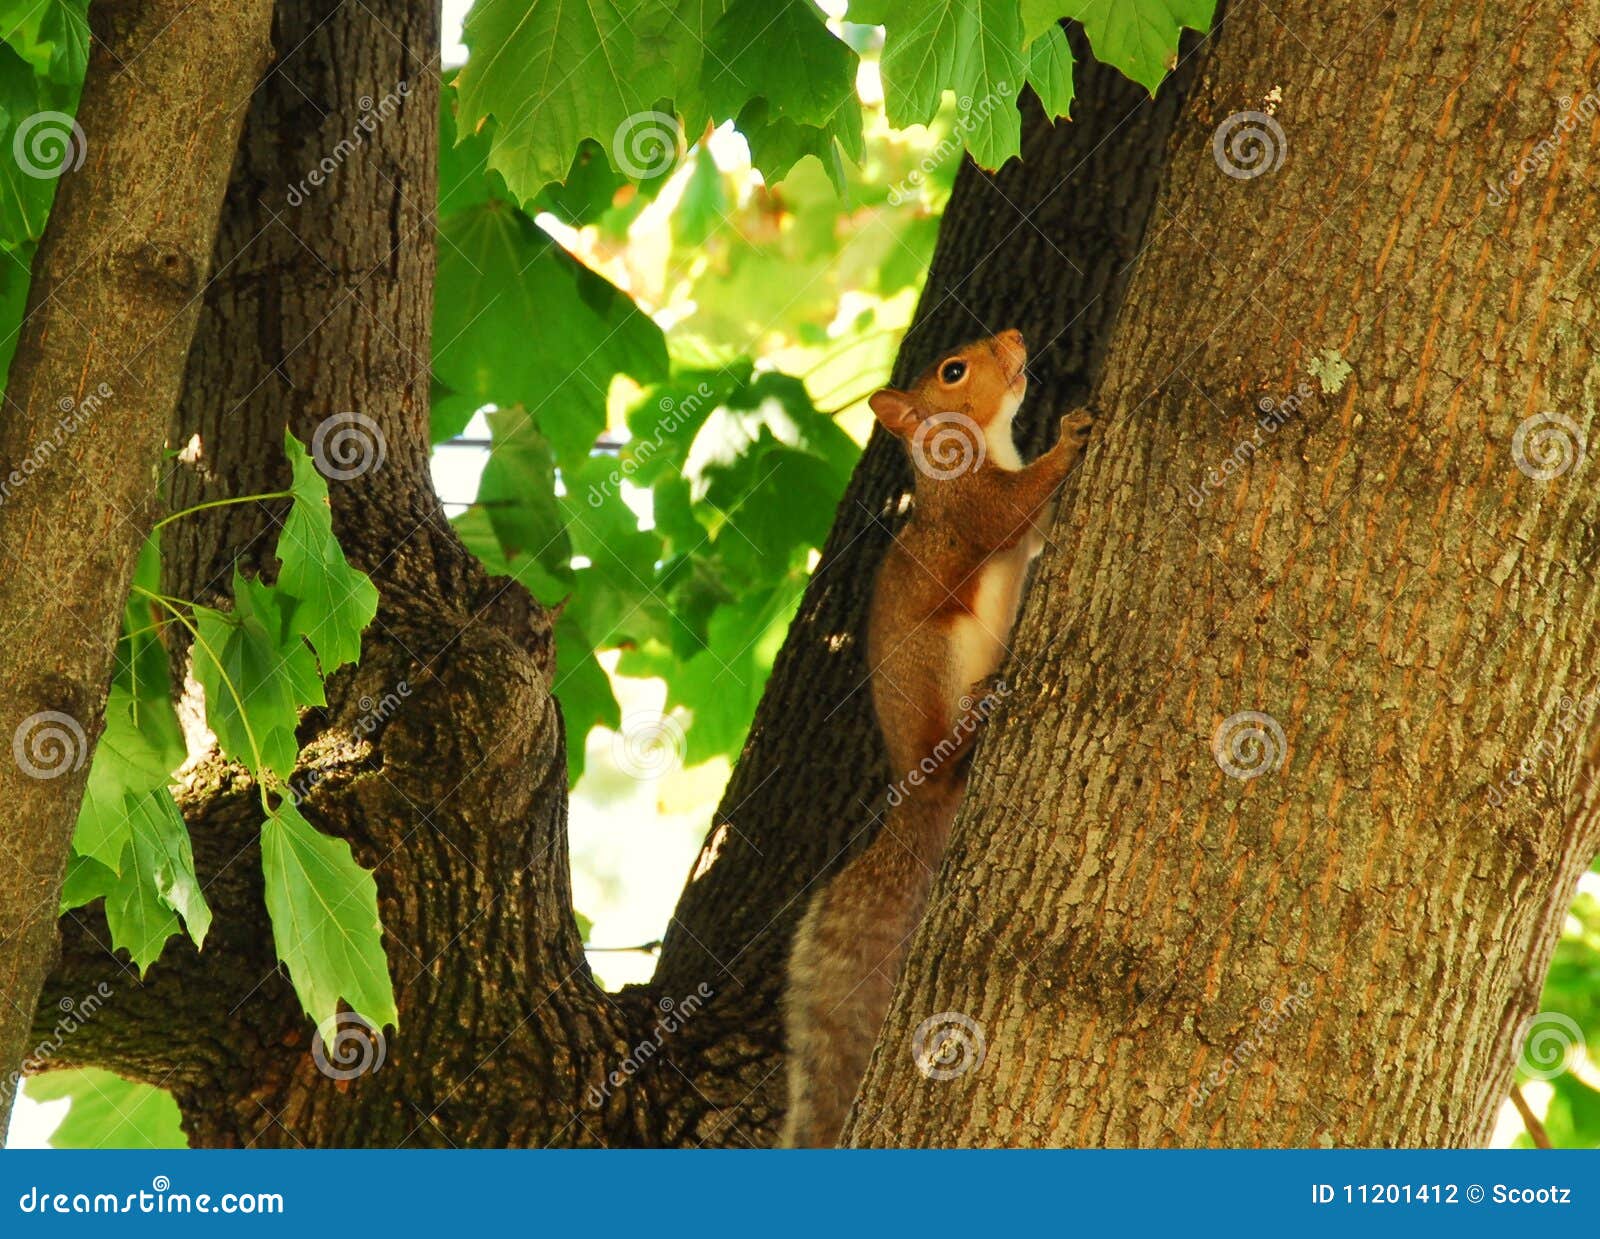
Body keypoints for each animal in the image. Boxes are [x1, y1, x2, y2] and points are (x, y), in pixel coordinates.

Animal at [779, 328, 1093, 1147]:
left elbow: (1034, 533)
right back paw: (975, 721)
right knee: (950, 756)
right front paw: (1071, 434)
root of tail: (913, 797)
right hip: (935, 666)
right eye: (953, 370)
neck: (985, 446)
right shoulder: (974, 509)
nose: (1015, 336)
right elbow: (1014, 506)